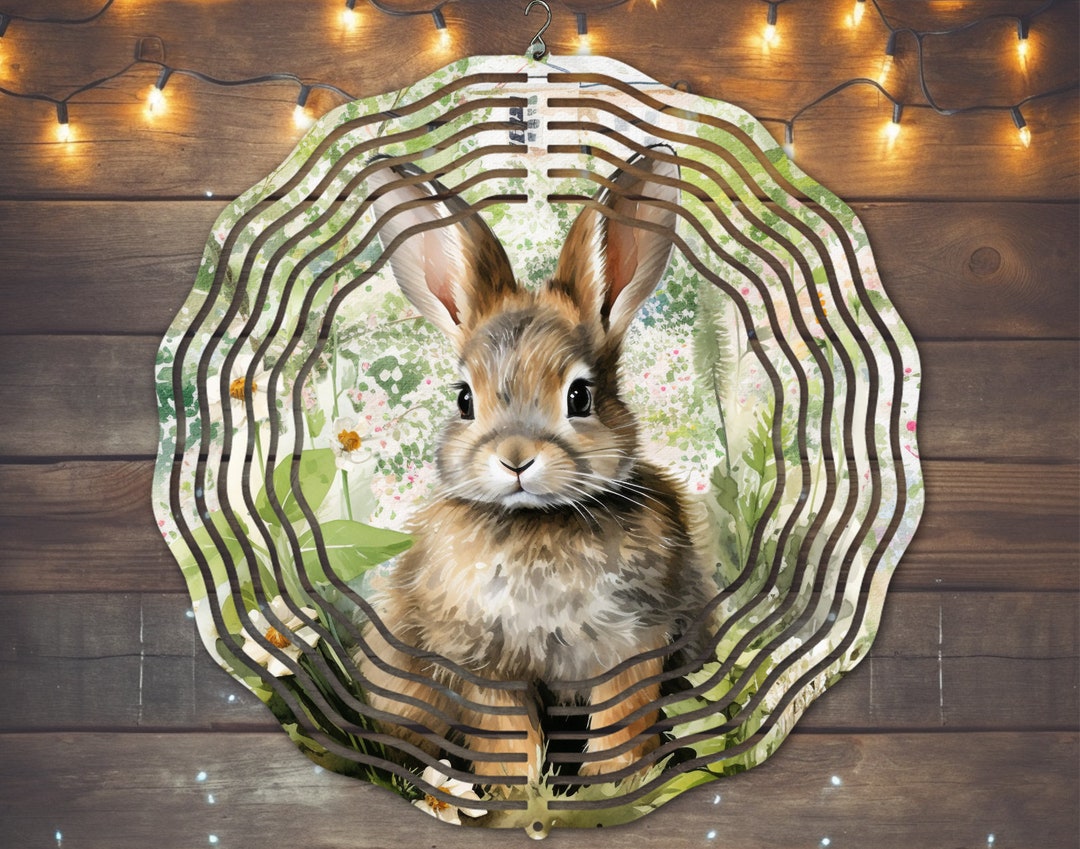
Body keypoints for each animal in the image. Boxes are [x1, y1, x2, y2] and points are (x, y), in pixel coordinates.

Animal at [355, 149, 716, 786]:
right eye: (464, 400)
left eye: (580, 397)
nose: (516, 458)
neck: (539, 523)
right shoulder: (484, 662)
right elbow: (507, 738)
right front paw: (517, 793)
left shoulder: (634, 642)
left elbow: (621, 725)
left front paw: (614, 784)